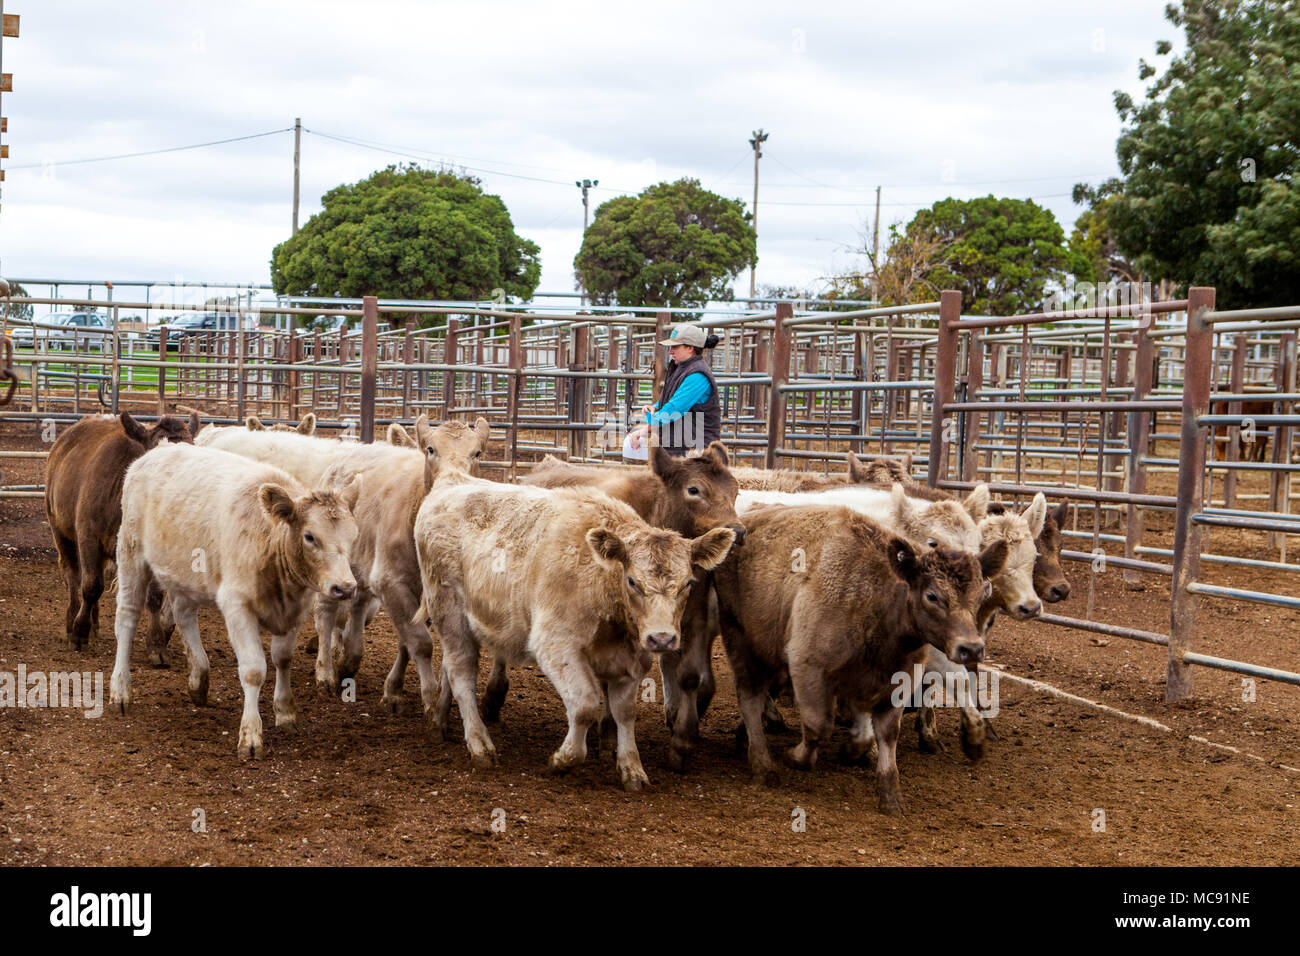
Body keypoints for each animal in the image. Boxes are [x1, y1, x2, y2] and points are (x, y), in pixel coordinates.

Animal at [44, 411, 199, 662]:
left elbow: (154, 596)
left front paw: (156, 644)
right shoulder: (88, 538)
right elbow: (91, 586)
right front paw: (78, 633)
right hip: (60, 529)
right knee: (73, 576)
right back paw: (72, 619)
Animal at [110, 442, 361, 757]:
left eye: (354, 536)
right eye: (310, 536)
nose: (345, 587)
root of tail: (159, 449)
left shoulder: (296, 610)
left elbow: (282, 659)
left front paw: (285, 713)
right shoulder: (237, 606)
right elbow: (254, 669)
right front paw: (251, 735)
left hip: (184, 572)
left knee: (183, 613)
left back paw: (199, 678)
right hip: (130, 553)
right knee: (127, 618)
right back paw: (120, 690)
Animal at [412, 473, 736, 790]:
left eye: (688, 583)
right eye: (632, 581)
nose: (662, 638)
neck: (599, 579)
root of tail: (453, 481)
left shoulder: (633, 659)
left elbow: (625, 712)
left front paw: (631, 768)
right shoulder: (556, 645)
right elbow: (585, 705)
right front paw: (563, 759)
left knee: (449, 667)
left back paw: (438, 721)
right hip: (449, 613)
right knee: (461, 674)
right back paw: (479, 744)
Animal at [712, 503, 1007, 813]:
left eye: (980, 593)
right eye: (932, 596)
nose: (971, 648)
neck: (875, 601)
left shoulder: (896, 680)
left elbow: (886, 733)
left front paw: (889, 793)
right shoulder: (808, 668)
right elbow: (818, 726)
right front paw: (796, 757)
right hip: (740, 639)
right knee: (750, 698)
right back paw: (762, 764)